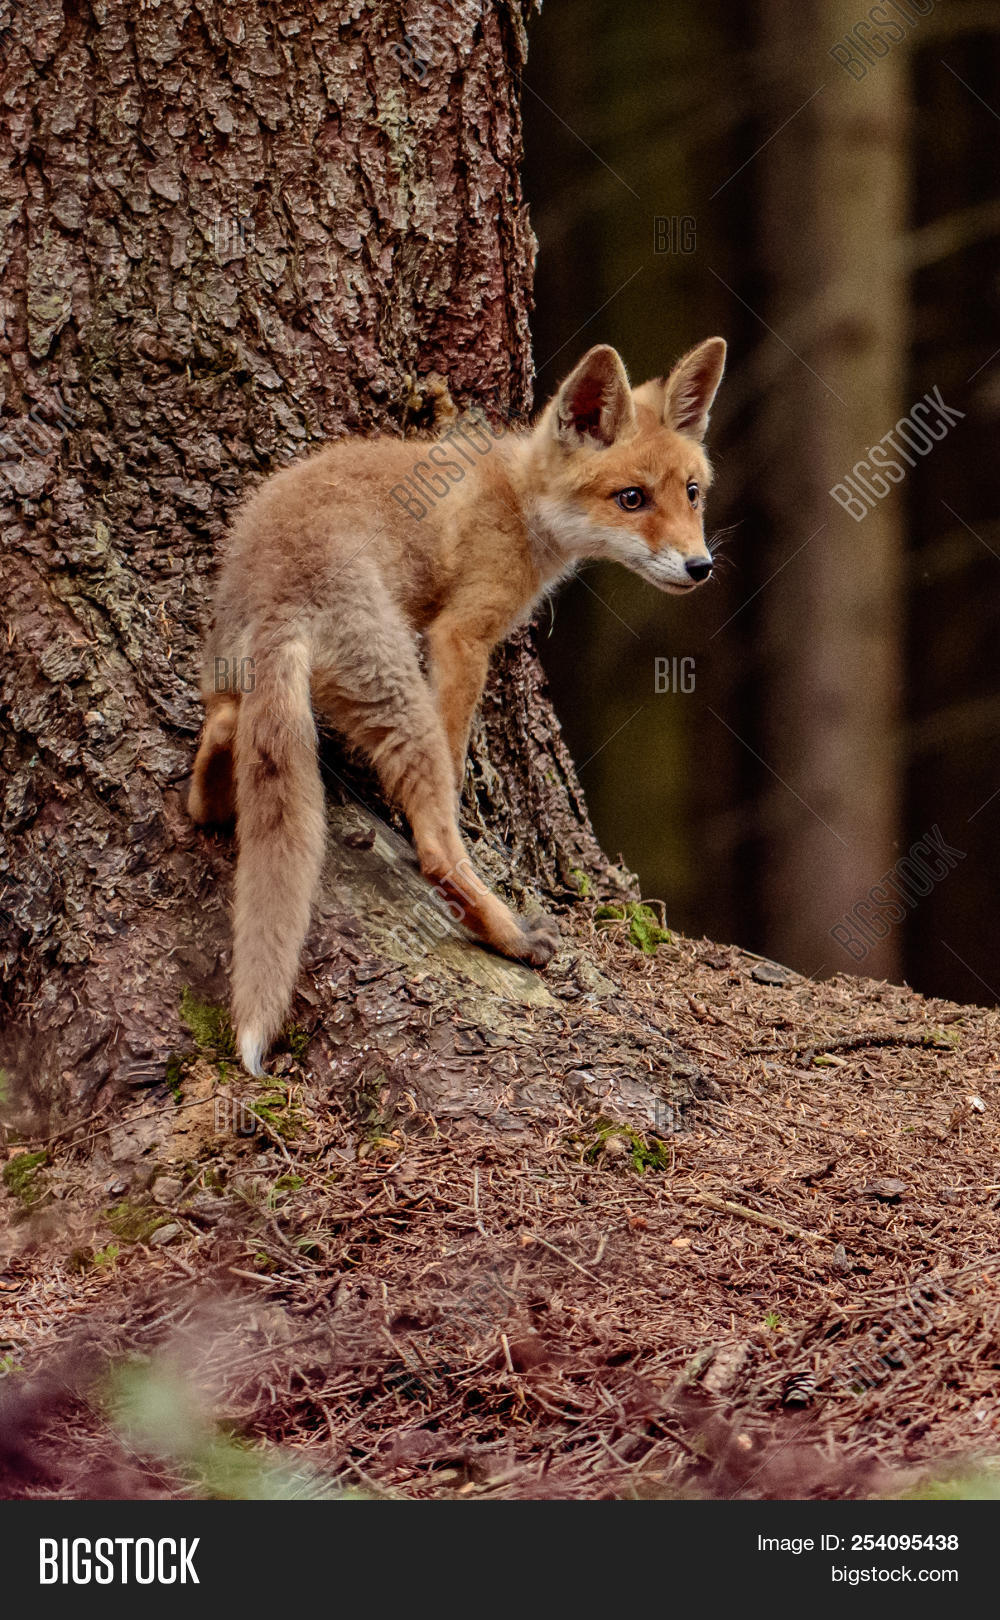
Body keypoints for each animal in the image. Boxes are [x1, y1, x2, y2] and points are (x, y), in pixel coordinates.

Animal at [188, 337, 727, 1075]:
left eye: (692, 493)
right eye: (632, 498)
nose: (701, 567)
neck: (518, 498)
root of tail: (279, 594)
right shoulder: (463, 635)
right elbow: (453, 747)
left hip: (232, 678)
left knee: (218, 738)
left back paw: (214, 798)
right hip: (400, 702)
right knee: (438, 852)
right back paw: (512, 936)